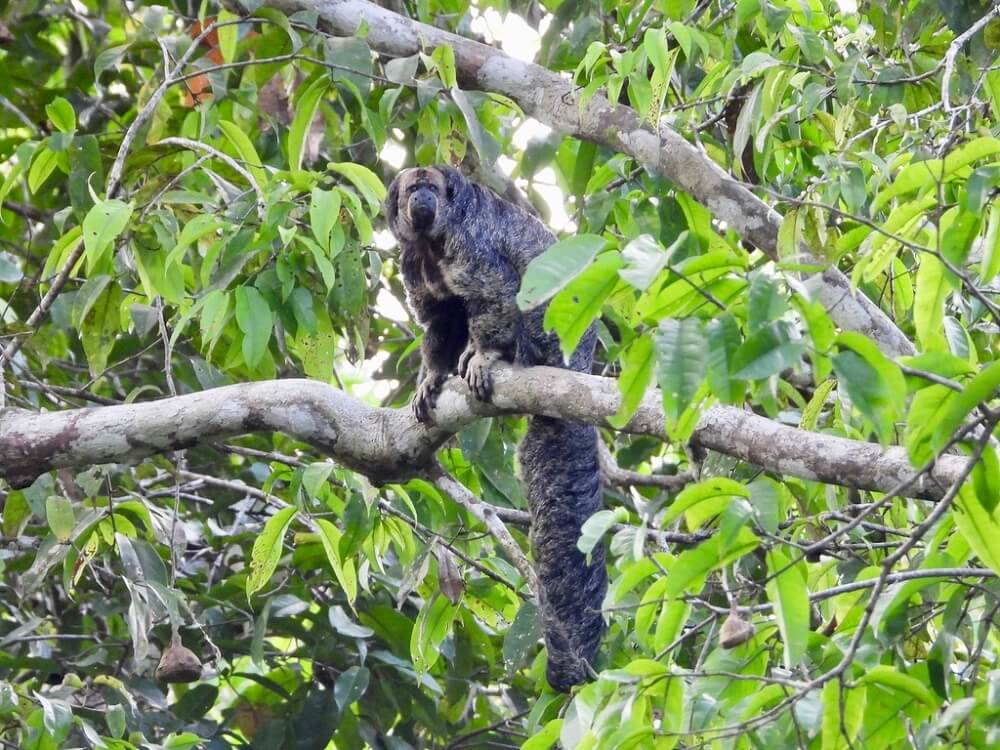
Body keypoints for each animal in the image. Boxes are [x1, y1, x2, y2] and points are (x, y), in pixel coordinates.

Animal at [385, 165, 606, 692]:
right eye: (411, 190)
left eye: (430, 189)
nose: (421, 198)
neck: (433, 244)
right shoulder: (412, 261)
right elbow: (440, 319)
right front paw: (432, 376)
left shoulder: (468, 241)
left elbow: (495, 290)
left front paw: (484, 355)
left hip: (549, 340)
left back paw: (494, 357)